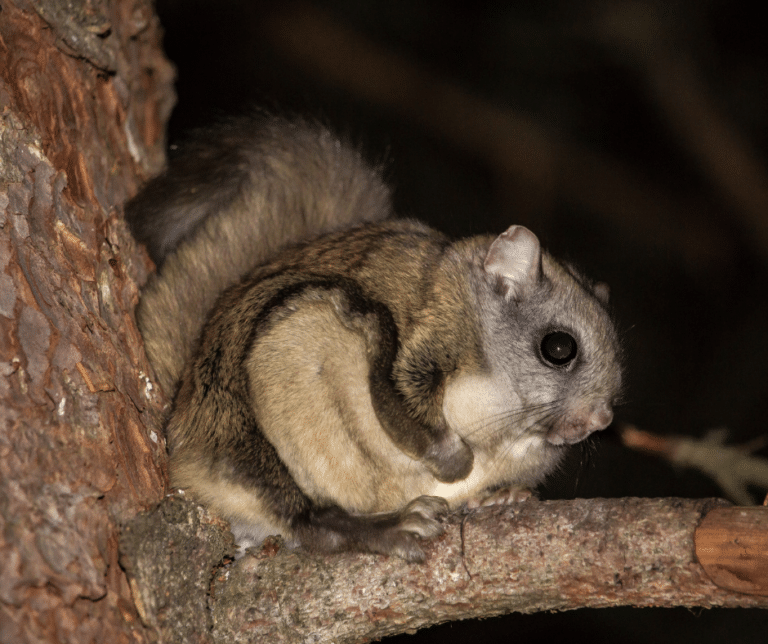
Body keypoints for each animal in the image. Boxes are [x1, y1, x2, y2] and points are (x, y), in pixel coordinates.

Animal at [125, 114, 623, 562]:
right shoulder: (426, 334)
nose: (600, 420)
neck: (508, 421)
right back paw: (377, 528)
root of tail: (182, 433)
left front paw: (504, 495)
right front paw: (454, 460)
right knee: (306, 522)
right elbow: (399, 400)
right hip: (271, 406)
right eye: (558, 348)